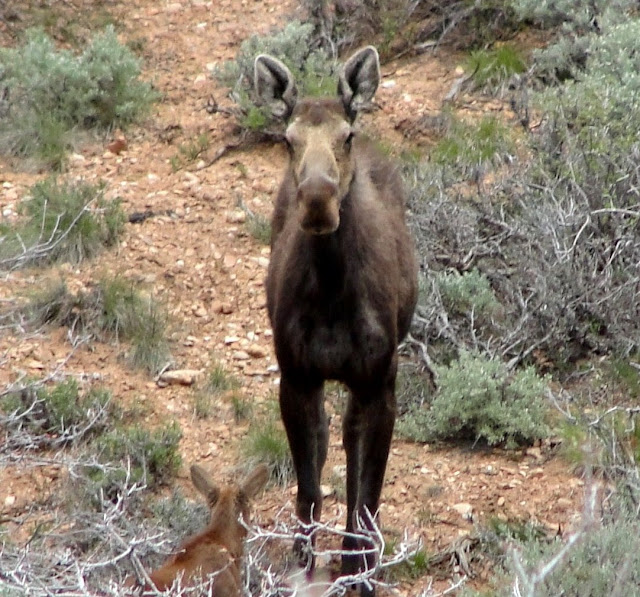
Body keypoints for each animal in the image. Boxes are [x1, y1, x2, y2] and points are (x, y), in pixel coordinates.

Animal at [254, 46, 419, 597]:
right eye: (288, 140)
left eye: (345, 137)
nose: (318, 201)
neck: (331, 292)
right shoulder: (297, 375)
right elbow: (307, 484)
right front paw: (301, 567)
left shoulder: (380, 379)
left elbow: (367, 496)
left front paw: (359, 572)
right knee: (331, 444)